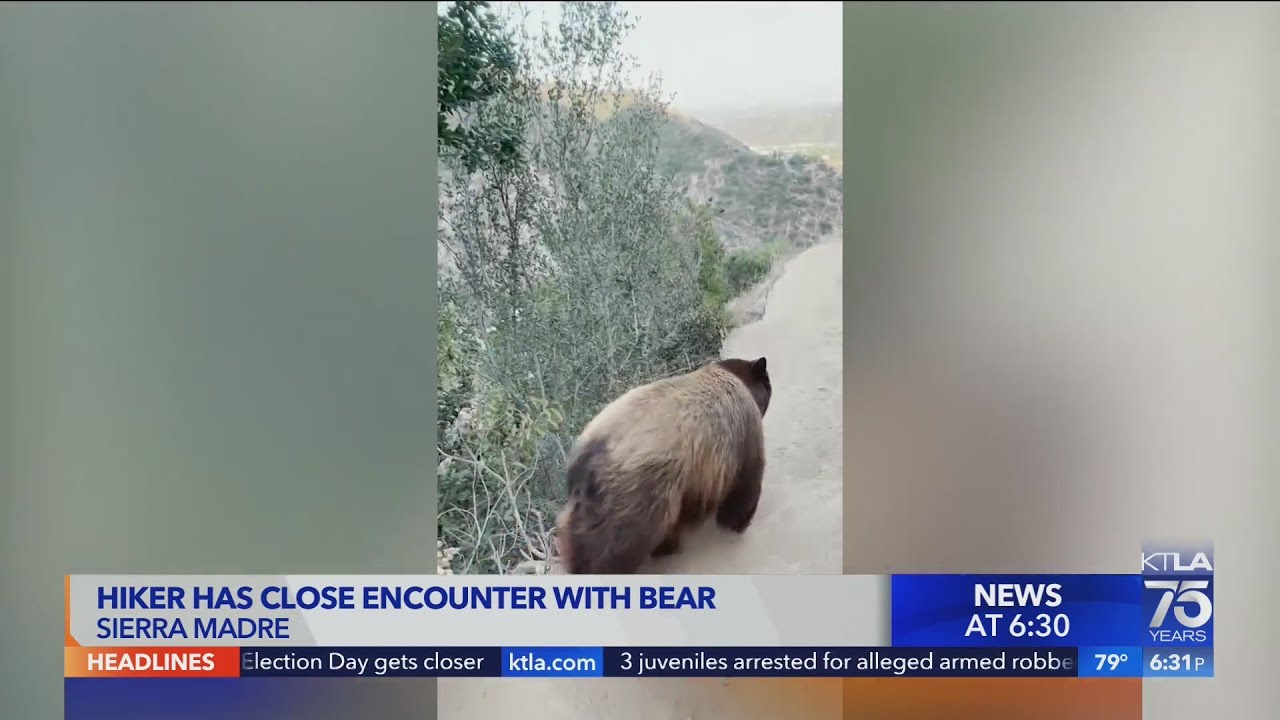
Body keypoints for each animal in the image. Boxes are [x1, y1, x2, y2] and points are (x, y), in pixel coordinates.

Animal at [554, 356, 771, 574]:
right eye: (768, 386)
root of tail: (589, 461)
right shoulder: (742, 430)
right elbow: (745, 484)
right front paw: (737, 522)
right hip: (637, 494)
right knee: (620, 547)